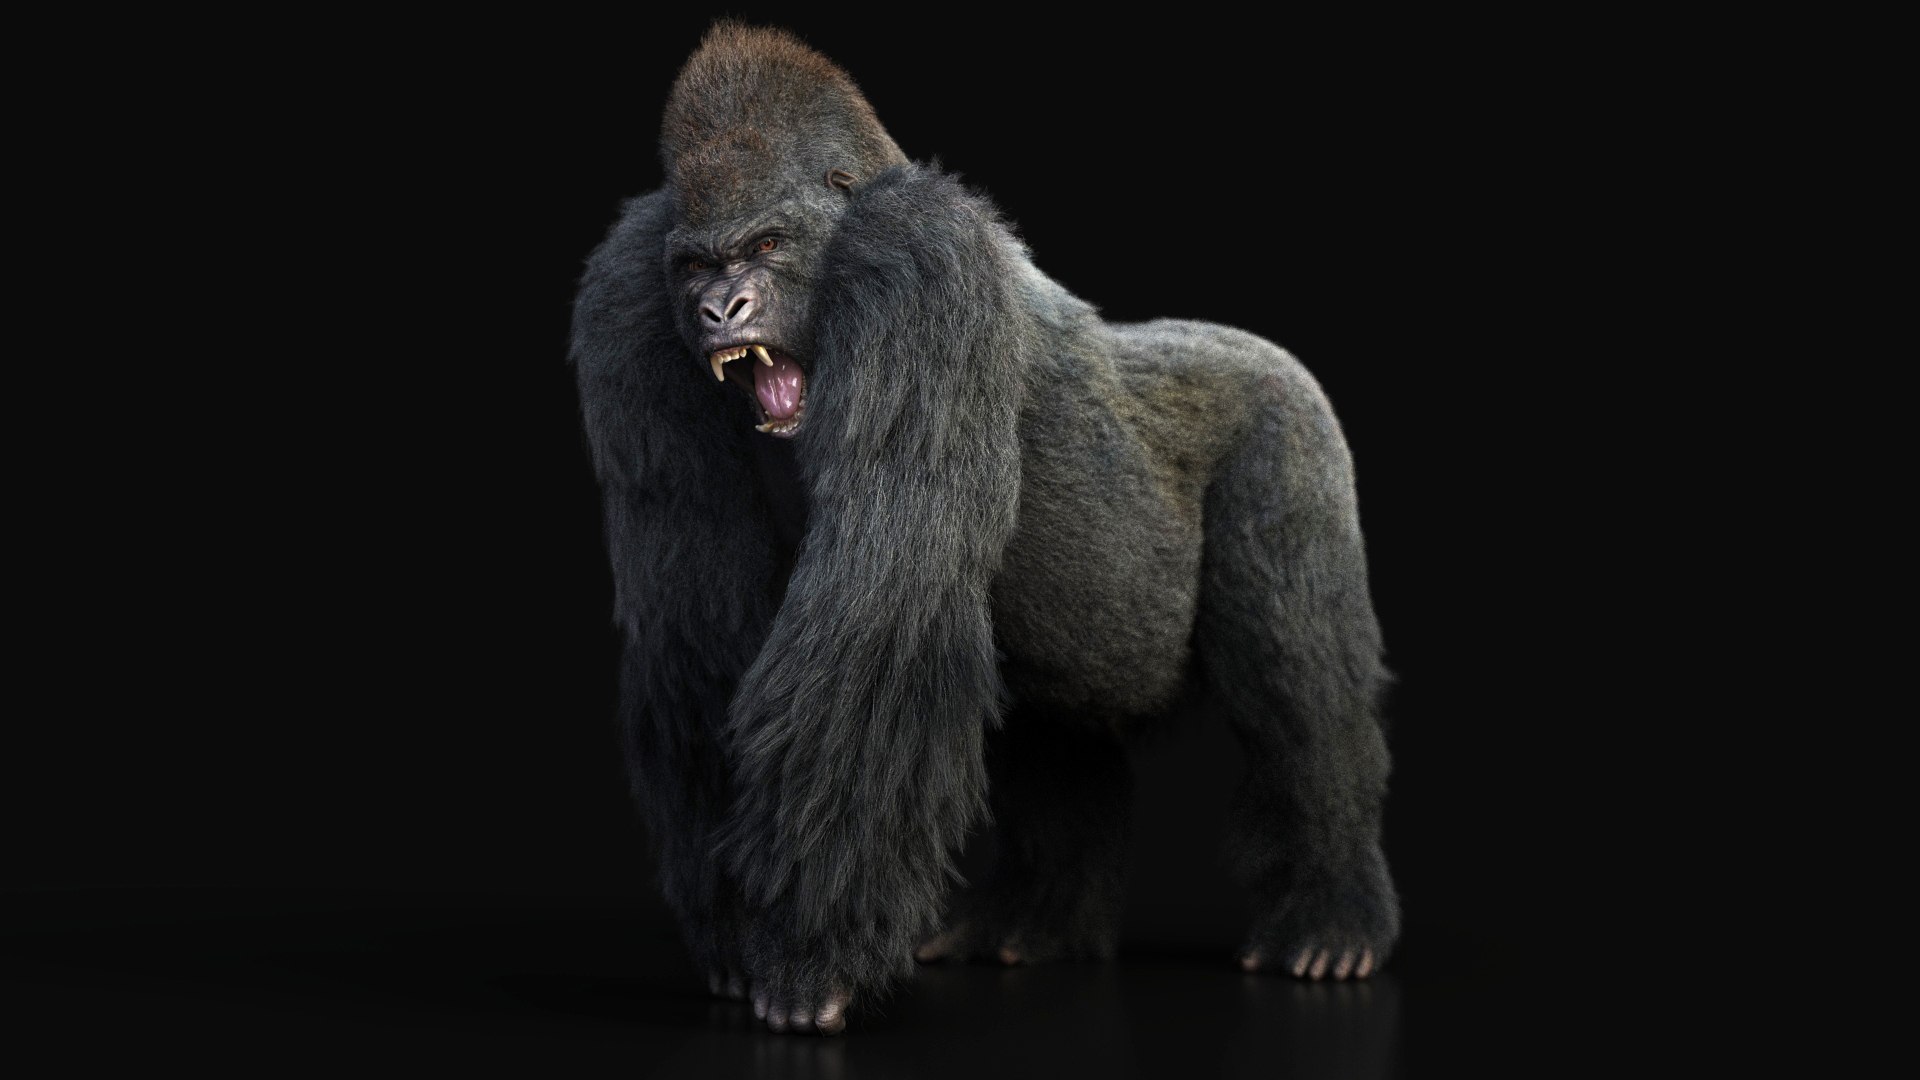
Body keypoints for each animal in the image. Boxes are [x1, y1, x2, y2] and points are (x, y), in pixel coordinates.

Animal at [570, 23, 1398, 1036]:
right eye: (695, 268)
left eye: (765, 246)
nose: (722, 308)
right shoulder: (626, 294)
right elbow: (692, 628)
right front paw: (736, 931)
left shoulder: (920, 260)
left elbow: (876, 617)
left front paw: (809, 956)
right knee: (1058, 722)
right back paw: (1036, 921)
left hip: (1294, 432)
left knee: (1299, 691)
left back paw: (1332, 916)